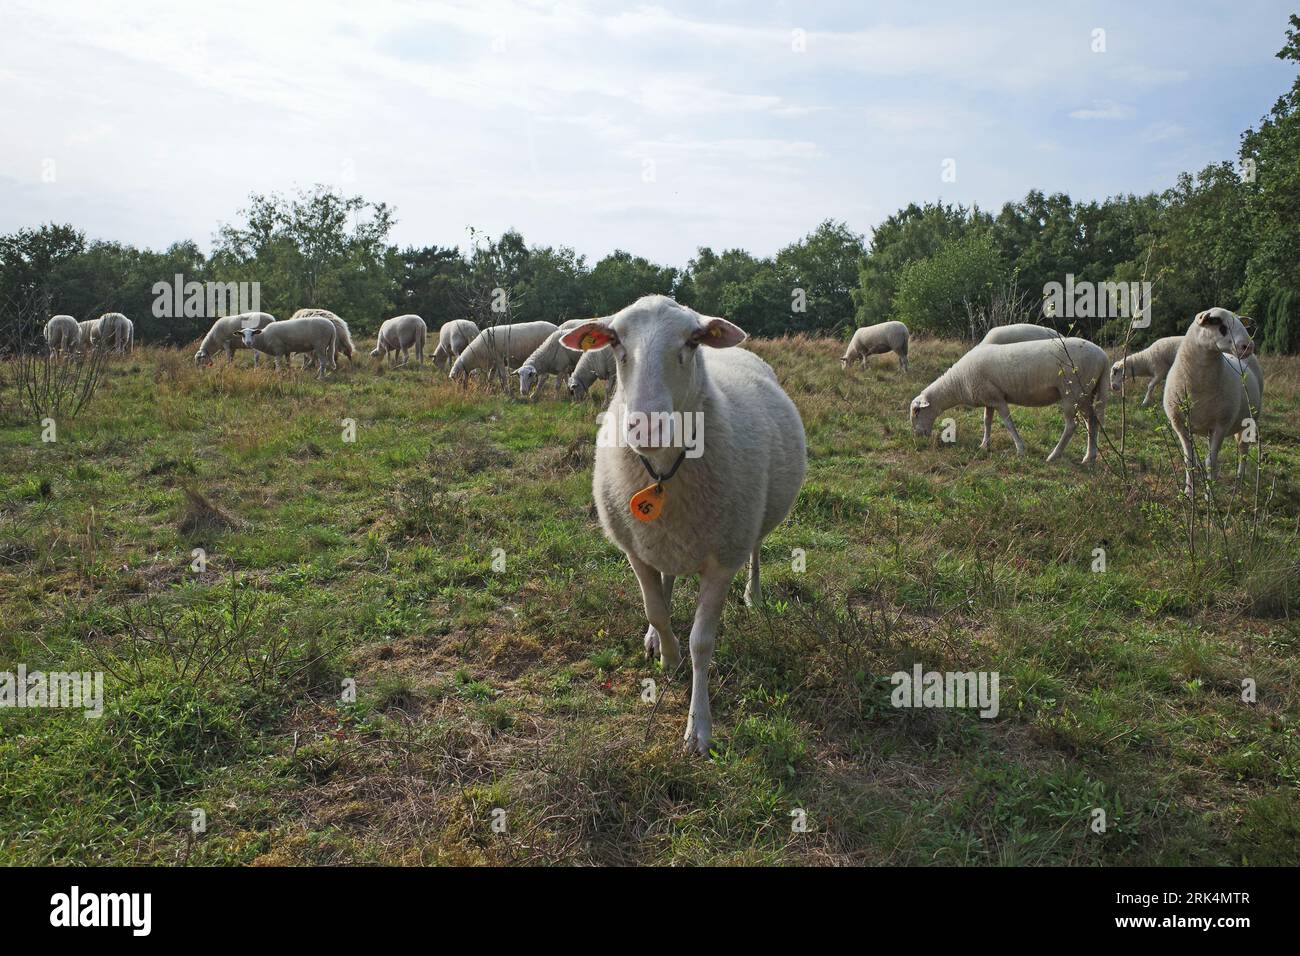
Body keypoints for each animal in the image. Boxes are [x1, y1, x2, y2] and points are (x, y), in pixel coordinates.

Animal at [561, 295, 807, 756]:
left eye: (694, 340)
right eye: (614, 339)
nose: (648, 426)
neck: (660, 471)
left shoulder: (723, 559)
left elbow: (701, 642)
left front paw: (699, 728)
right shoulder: (635, 549)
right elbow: (656, 609)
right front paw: (667, 654)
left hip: (753, 521)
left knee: (756, 552)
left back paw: (754, 595)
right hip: (660, 540)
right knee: (667, 580)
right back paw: (657, 638)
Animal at [910, 337, 1110, 465]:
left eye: (917, 412)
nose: (918, 436)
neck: (957, 382)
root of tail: (1103, 356)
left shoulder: (997, 398)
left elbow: (1007, 423)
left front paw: (1020, 448)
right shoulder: (988, 398)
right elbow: (987, 421)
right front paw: (984, 445)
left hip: (1072, 391)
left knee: (1071, 425)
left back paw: (1054, 455)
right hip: (1087, 393)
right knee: (1092, 421)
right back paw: (1089, 457)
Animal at [1162, 308, 1263, 497]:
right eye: (1219, 324)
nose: (1248, 346)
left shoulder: (1221, 425)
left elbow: (1211, 461)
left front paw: (1209, 495)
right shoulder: (1179, 425)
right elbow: (1189, 460)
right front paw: (1189, 492)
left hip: (1248, 422)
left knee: (1243, 451)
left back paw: (1239, 481)